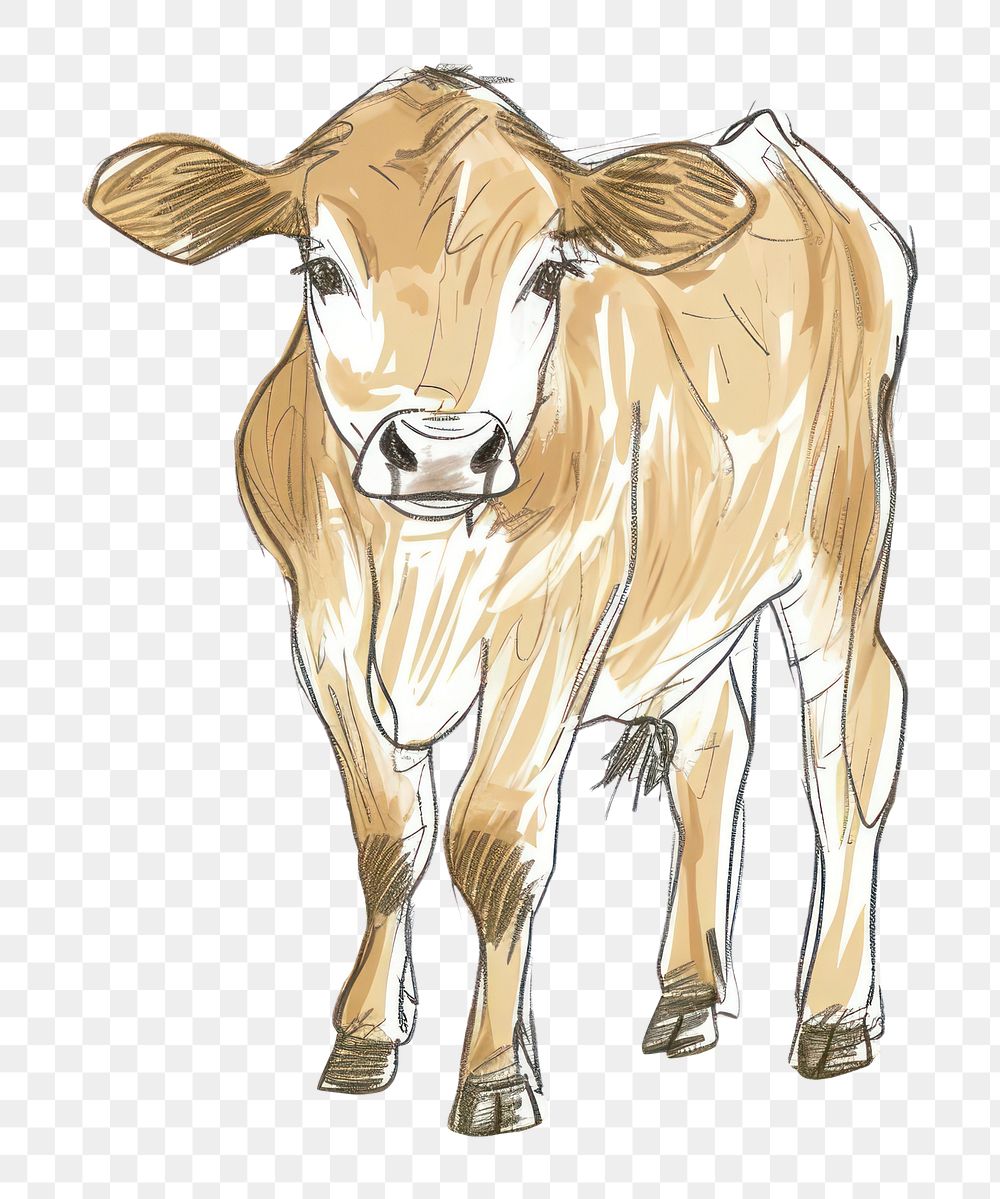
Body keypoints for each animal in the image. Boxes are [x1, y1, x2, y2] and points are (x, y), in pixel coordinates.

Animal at [86, 66, 915, 1135]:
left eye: (547, 274)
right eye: (321, 268)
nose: (442, 449)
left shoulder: (556, 617)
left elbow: (493, 841)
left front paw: (492, 1075)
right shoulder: (323, 626)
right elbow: (388, 836)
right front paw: (369, 1036)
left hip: (842, 546)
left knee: (850, 751)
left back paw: (836, 1013)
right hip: (693, 597)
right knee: (713, 753)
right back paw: (688, 996)